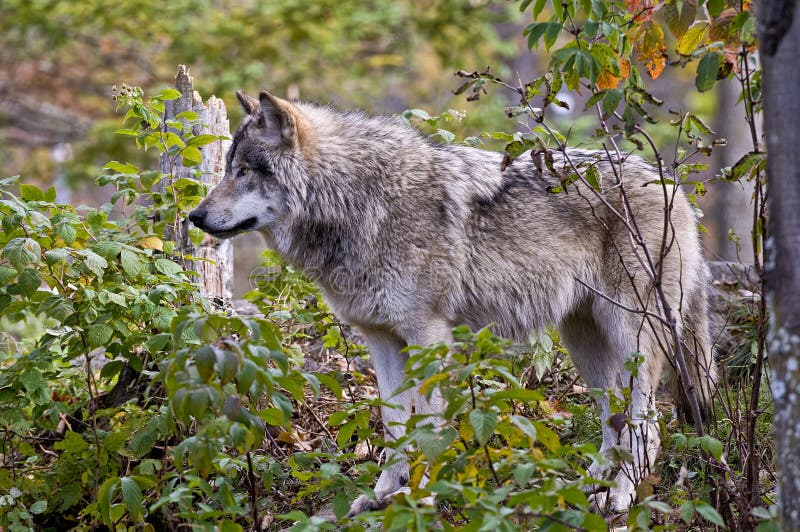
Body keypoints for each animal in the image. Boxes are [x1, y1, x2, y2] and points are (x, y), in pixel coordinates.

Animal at [188, 89, 716, 514]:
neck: (358, 203)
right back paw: (587, 486)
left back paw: (621, 496)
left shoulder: (428, 335)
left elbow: (426, 425)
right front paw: (383, 495)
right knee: (615, 421)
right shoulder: (382, 339)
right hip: (584, 340)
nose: (194, 216)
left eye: (243, 171)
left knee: (647, 426)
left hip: (632, 335)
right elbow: (394, 426)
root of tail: (674, 186)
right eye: (227, 169)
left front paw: (418, 496)